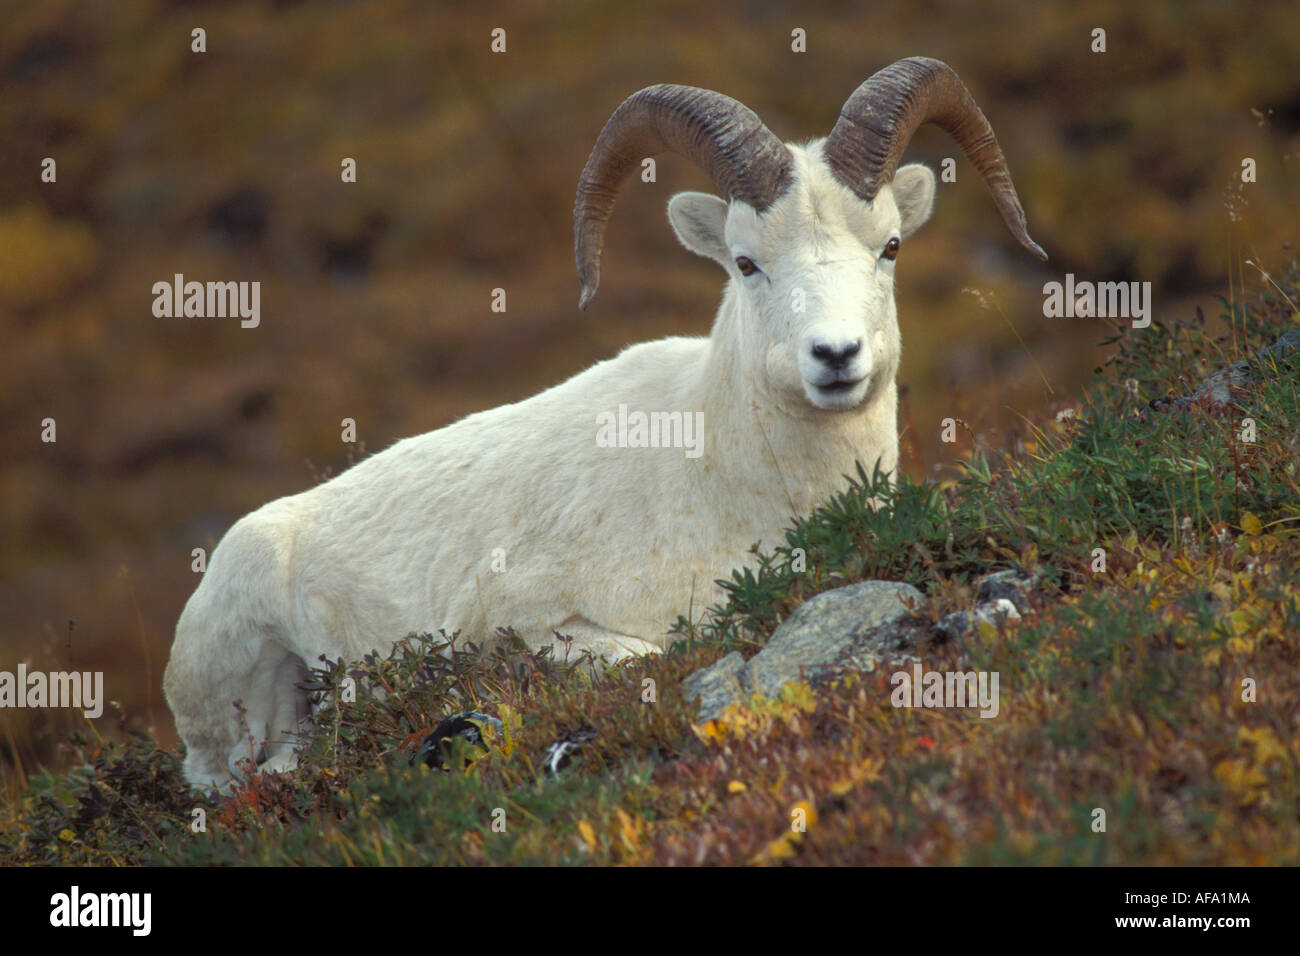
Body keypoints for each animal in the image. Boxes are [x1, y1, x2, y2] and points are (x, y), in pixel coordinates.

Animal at [163, 57, 1045, 790]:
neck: (737, 488)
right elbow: (647, 653)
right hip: (245, 701)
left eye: (890, 246)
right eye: (746, 262)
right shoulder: (535, 623)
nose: (836, 356)